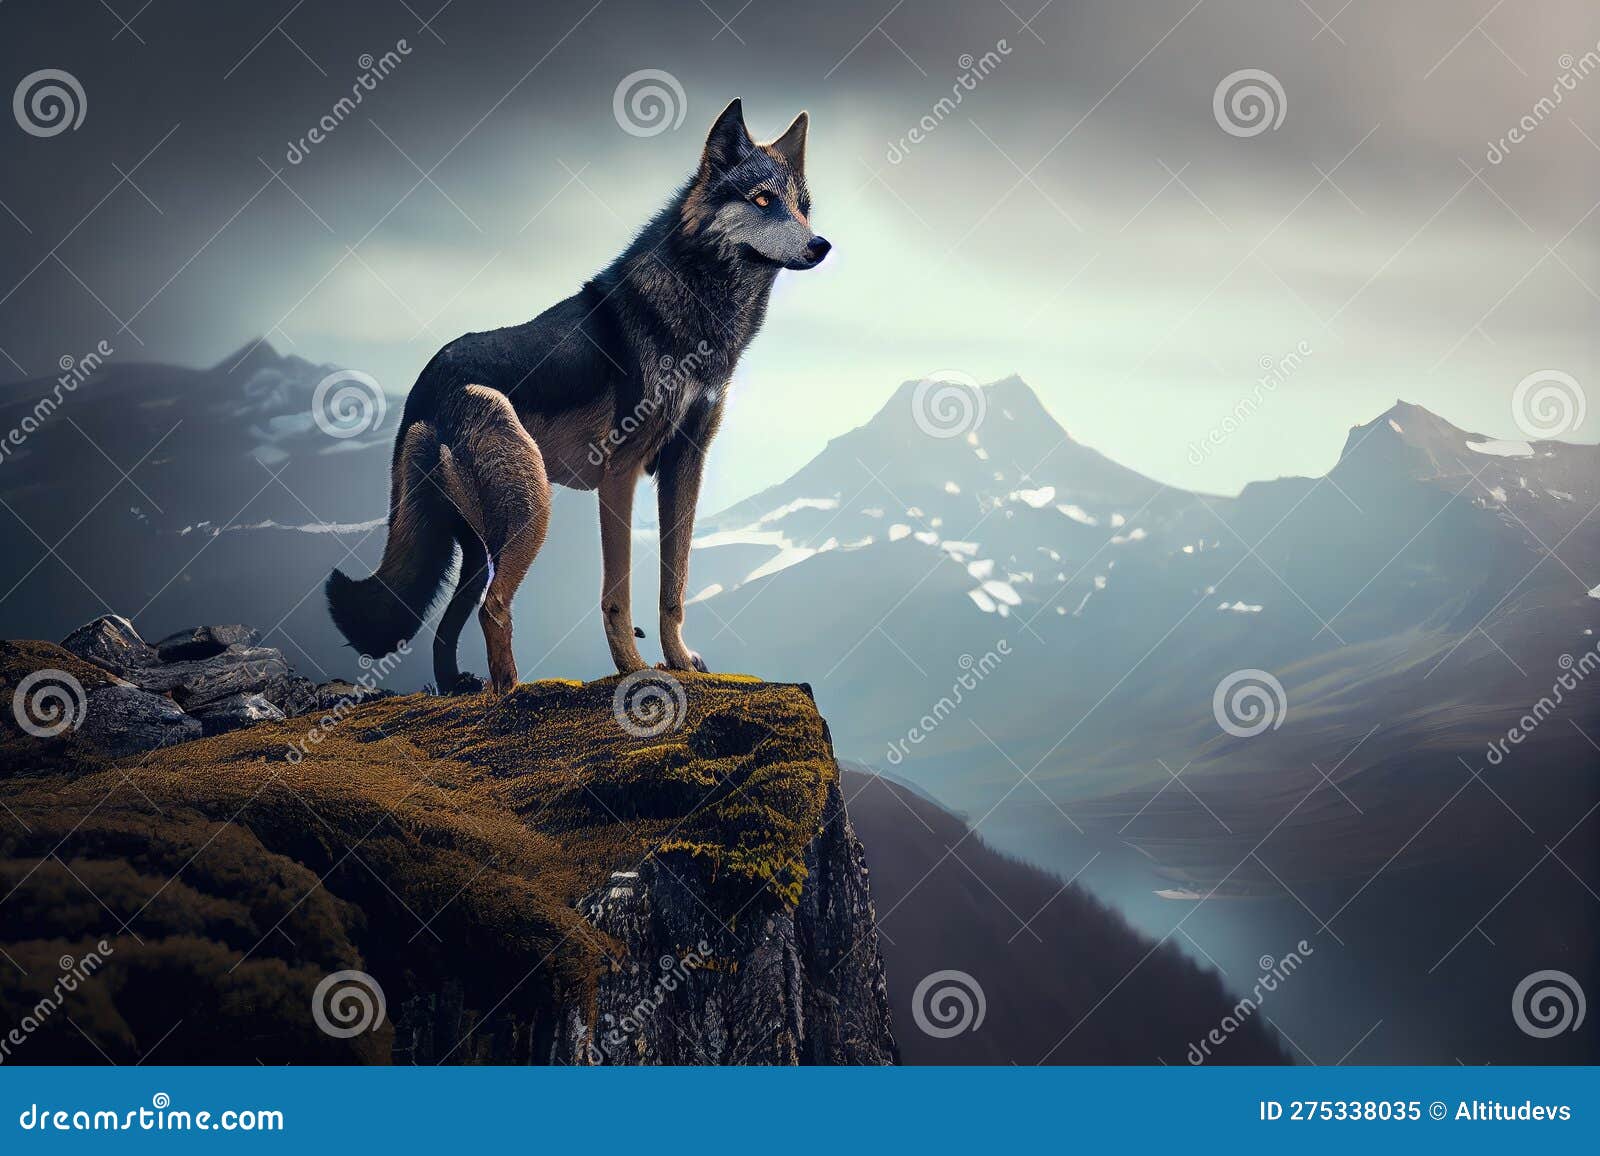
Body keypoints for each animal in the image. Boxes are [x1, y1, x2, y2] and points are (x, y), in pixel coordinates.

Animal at [326, 99, 829, 693]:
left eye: (803, 209)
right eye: (762, 201)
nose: (821, 246)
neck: (698, 315)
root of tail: (421, 392)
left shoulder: (686, 463)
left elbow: (675, 585)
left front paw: (680, 661)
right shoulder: (619, 474)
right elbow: (619, 595)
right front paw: (634, 671)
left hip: (479, 543)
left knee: (451, 624)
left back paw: (462, 687)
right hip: (531, 509)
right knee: (493, 608)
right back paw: (512, 695)